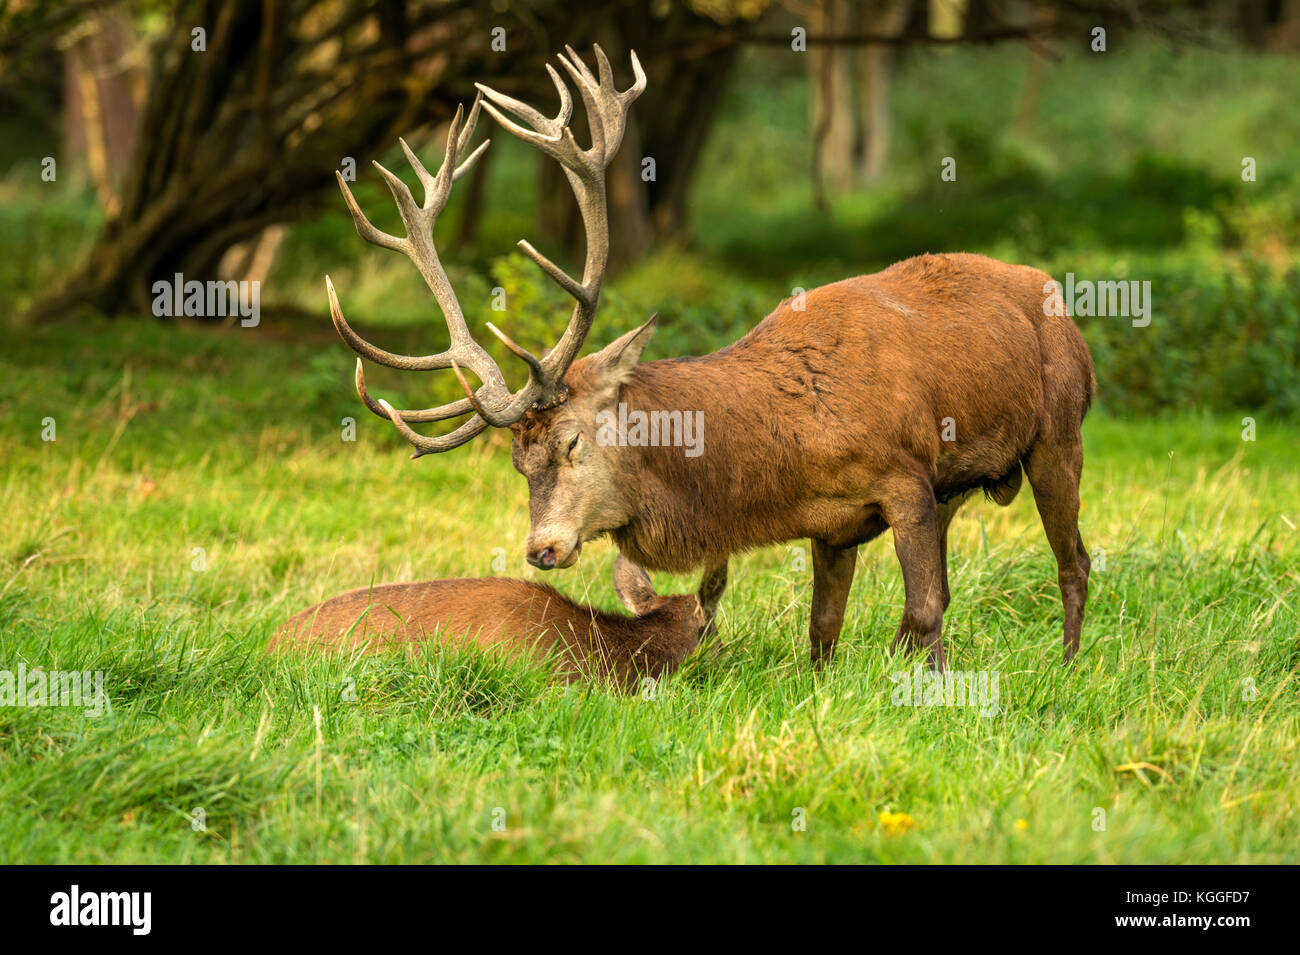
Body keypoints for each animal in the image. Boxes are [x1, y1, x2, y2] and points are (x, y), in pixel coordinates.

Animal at [321, 44, 1096, 672]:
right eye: (517, 460)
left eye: (572, 443)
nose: (541, 549)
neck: (786, 454)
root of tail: (1059, 299)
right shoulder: (835, 524)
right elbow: (823, 632)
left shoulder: (905, 474)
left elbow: (921, 614)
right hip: (962, 486)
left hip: (1059, 429)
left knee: (1075, 561)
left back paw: (1066, 666)